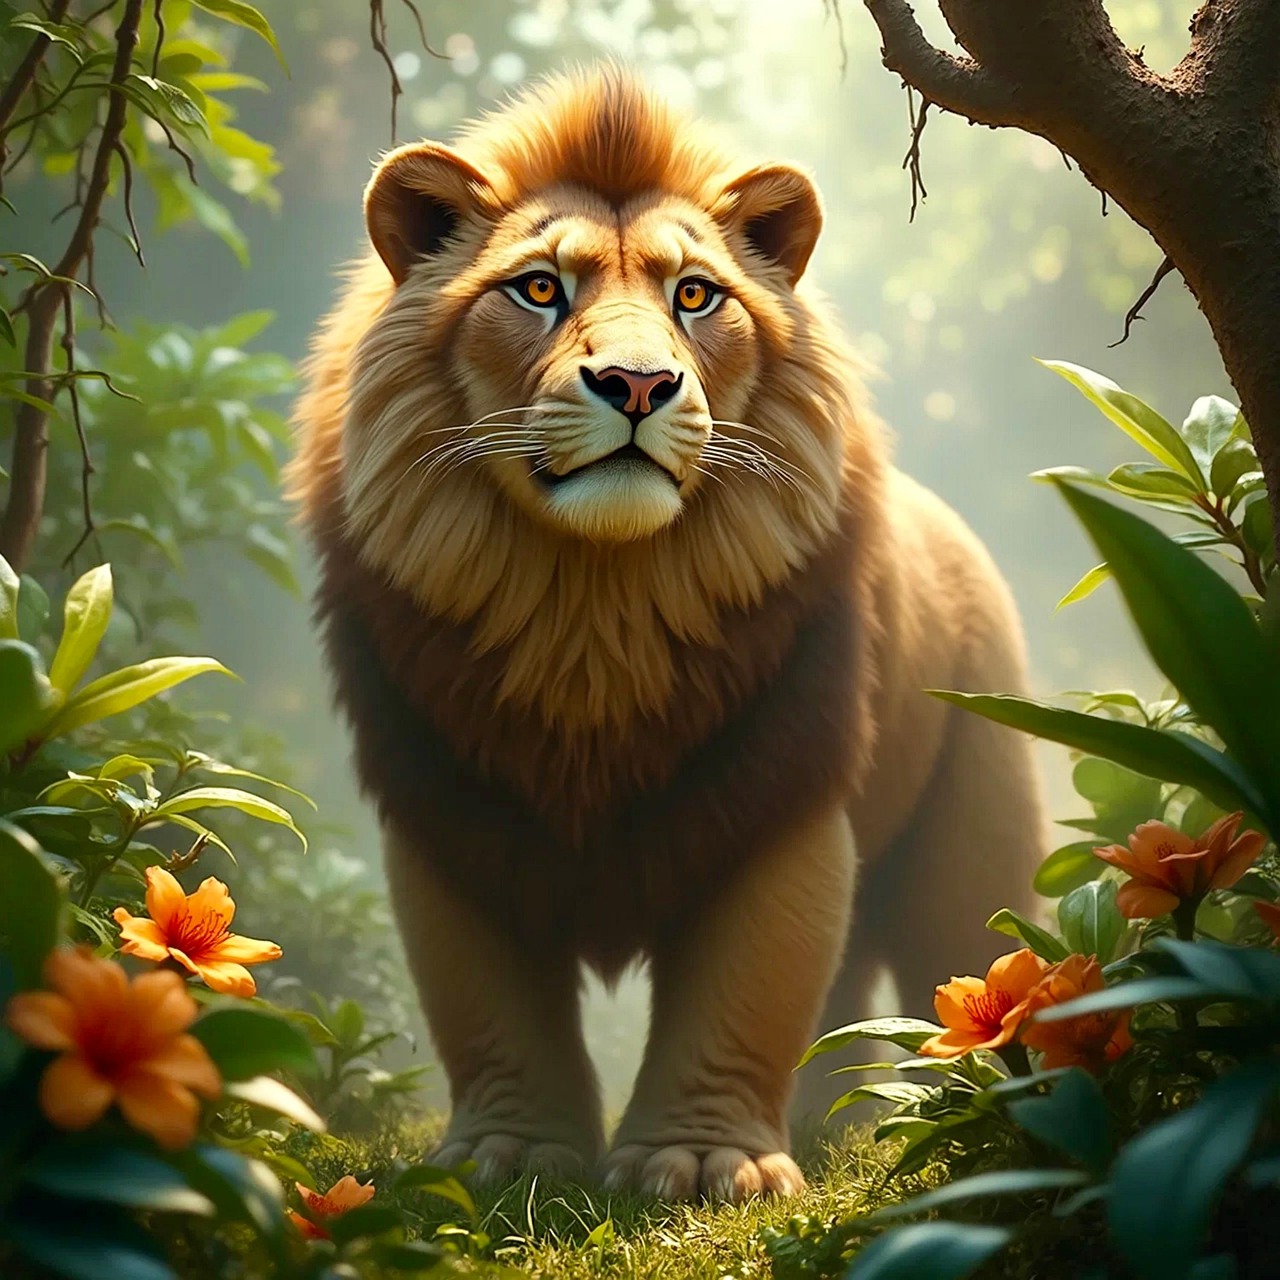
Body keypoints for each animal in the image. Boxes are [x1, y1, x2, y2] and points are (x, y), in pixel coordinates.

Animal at [288, 66, 1046, 1202]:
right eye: (538, 290)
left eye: (695, 295)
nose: (639, 385)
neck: (593, 612)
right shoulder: (445, 806)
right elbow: (484, 1002)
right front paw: (512, 1155)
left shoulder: (783, 790)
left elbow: (749, 982)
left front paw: (697, 1160)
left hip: (971, 823)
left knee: (971, 953)